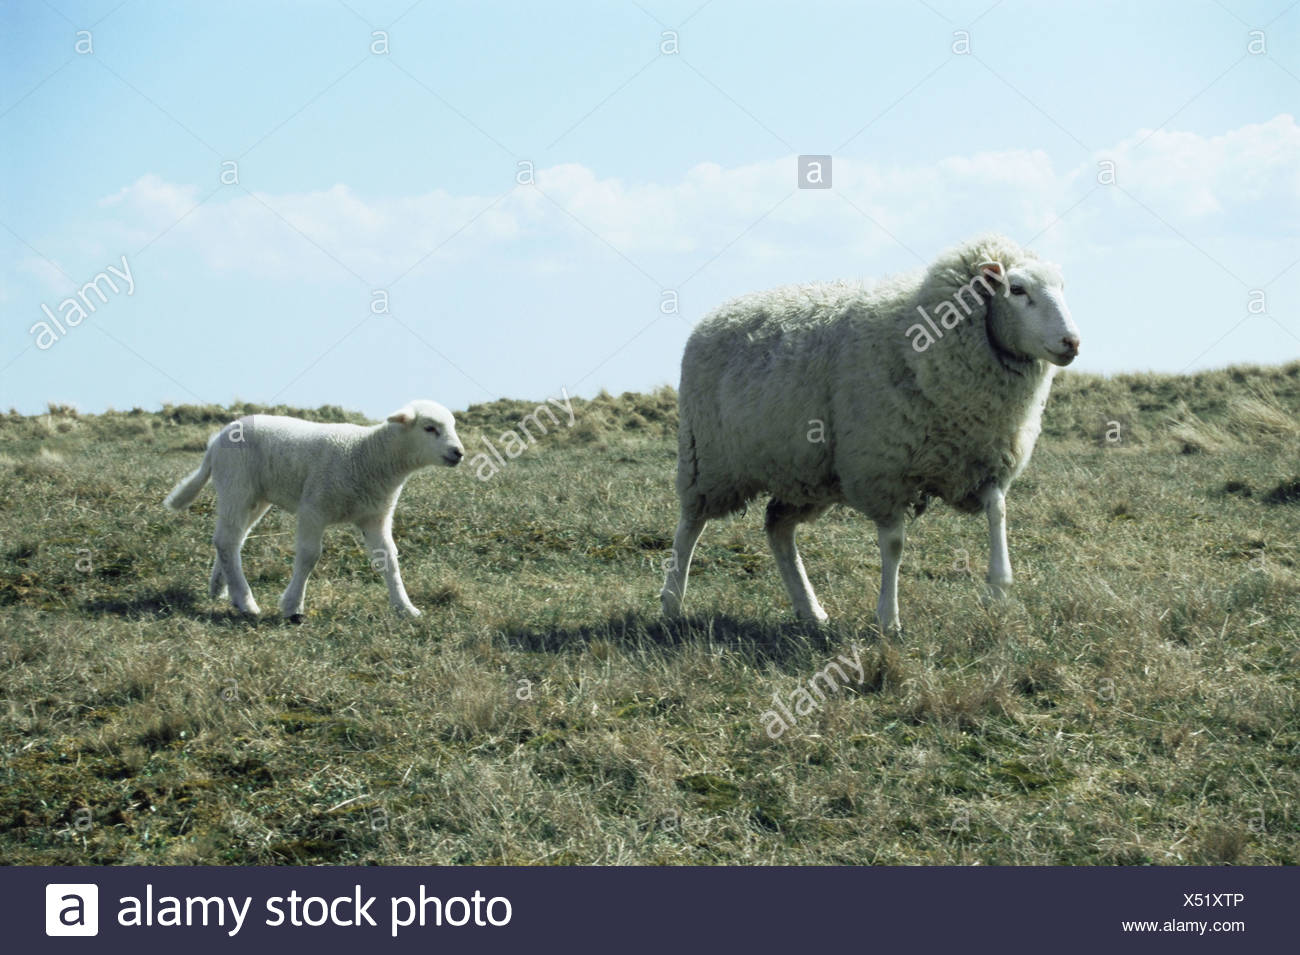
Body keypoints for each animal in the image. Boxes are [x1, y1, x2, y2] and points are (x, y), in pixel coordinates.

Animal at [164, 400, 464, 620]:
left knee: (232, 539)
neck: (368, 455)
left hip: (256, 497)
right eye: (429, 428)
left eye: (452, 426)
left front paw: (405, 608)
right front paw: (292, 606)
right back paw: (247, 602)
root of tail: (216, 441)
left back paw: (222, 589)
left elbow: (388, 558)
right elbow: (309, 556)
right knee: (227, 540)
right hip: (236, 485)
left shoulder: (375, 516)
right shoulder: (313, 509)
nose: (458, 452)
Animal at [660, 234, 1080, 632]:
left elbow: (998, 510)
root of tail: (718, 312)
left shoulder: (980, 460)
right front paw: (889, 619)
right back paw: (671, 603)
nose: (1072, 342)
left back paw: (810, 609)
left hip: (803, 474)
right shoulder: (884, 471)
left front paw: (997, 589)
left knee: (778, 526)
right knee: (690, 525)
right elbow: (893, 545)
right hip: (708, 459)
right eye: (1017, 289)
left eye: (1062, 287)